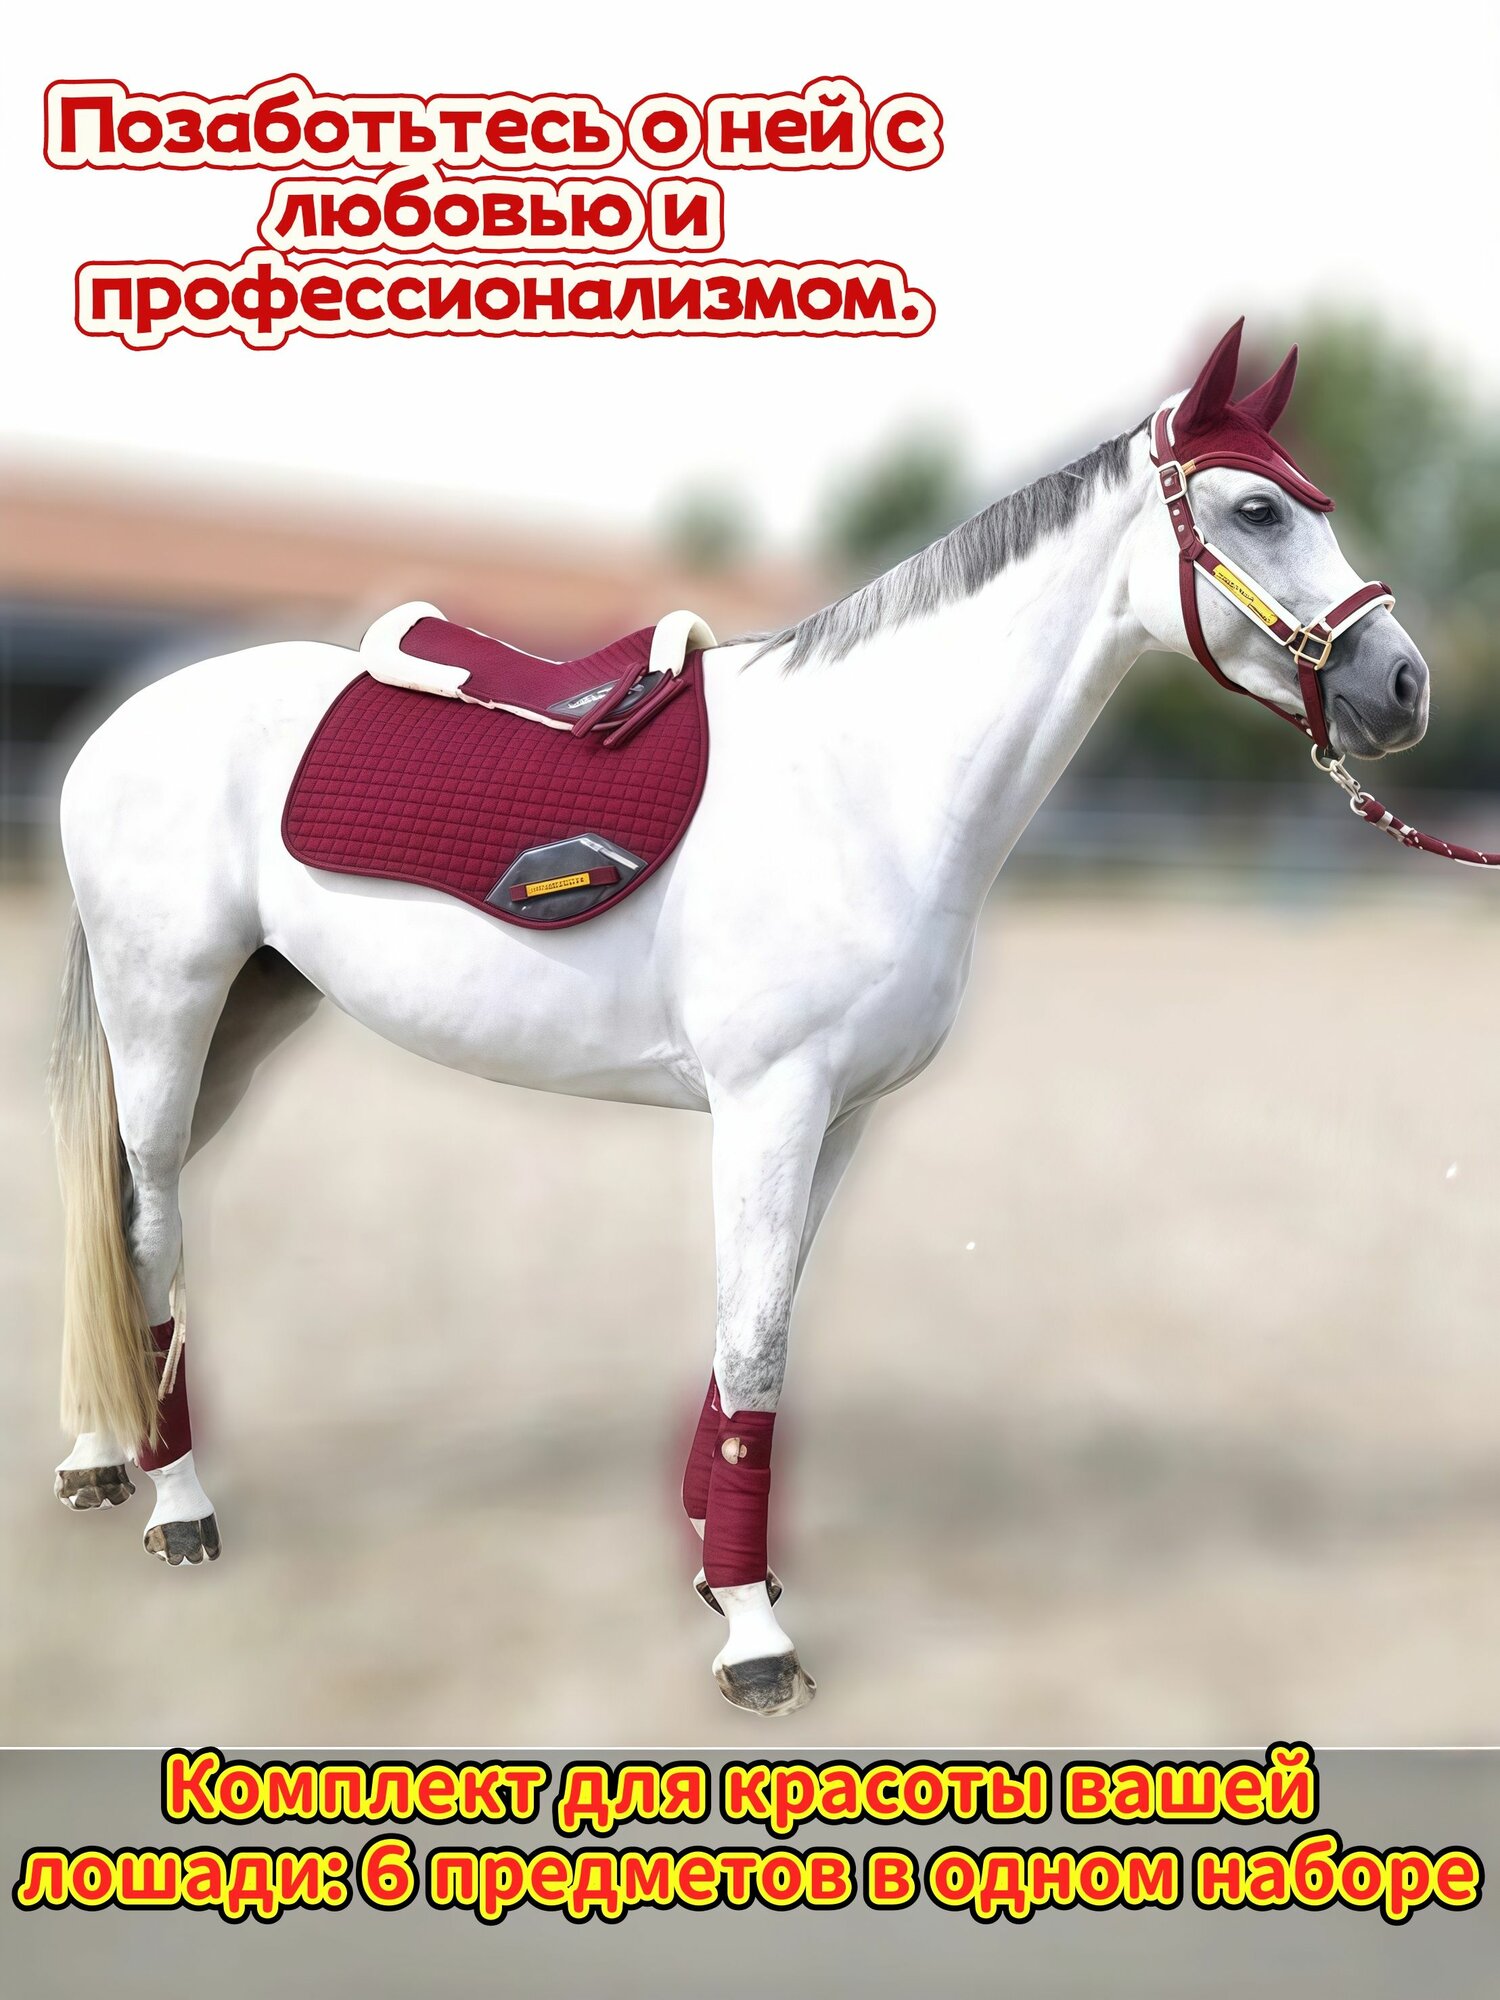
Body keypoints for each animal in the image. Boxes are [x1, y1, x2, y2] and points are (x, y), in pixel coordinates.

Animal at [48, 321, 1430, 1716]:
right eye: (1256, 510)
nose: (1404, 682)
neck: (867, 780)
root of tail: (123, 719)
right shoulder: (771, 1101)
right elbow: (756, 1342)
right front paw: (756, 1632)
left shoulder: (841, 1116)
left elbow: (754, 1338)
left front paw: (719, 1566)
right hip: (166, 1010)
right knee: (151, 1227)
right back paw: (178, 1503)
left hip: (238, 1023)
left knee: (116, 1205)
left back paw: (101, 1455)